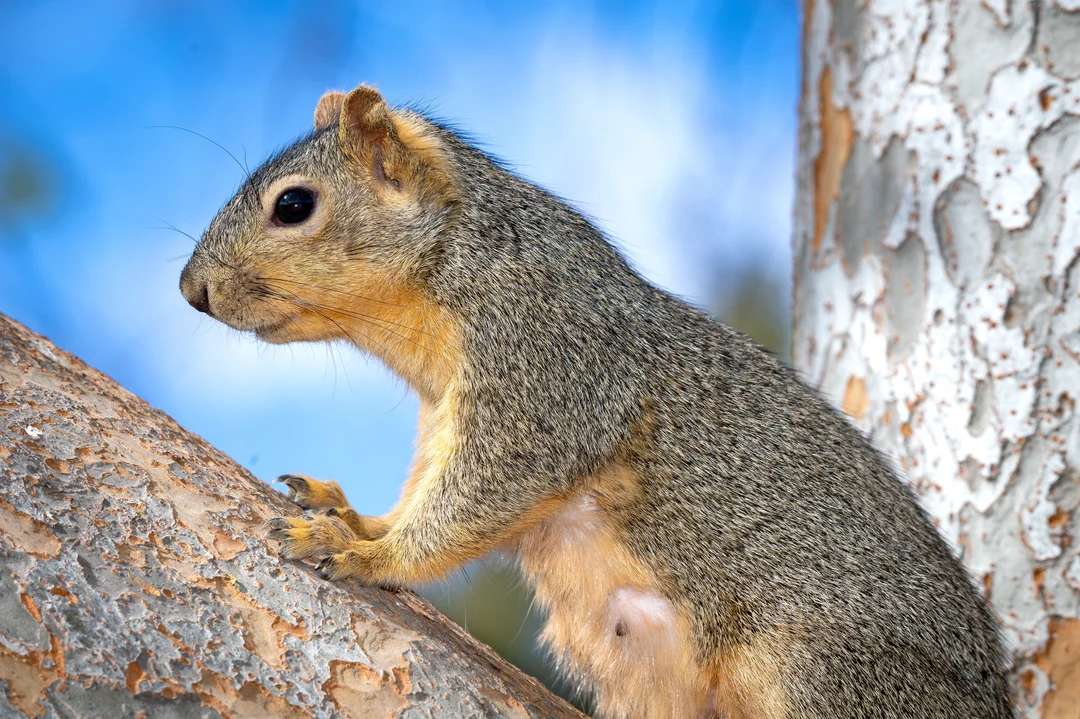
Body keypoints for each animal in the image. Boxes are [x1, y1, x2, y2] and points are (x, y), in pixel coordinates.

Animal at [179, 84, 1012, 719]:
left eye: (293, 205)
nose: (191, 291)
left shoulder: (549, 370)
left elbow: (478, 497)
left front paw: (366, 551)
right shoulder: (447, 415)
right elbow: (425, 489)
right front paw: (358, 516)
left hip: (826, 672)